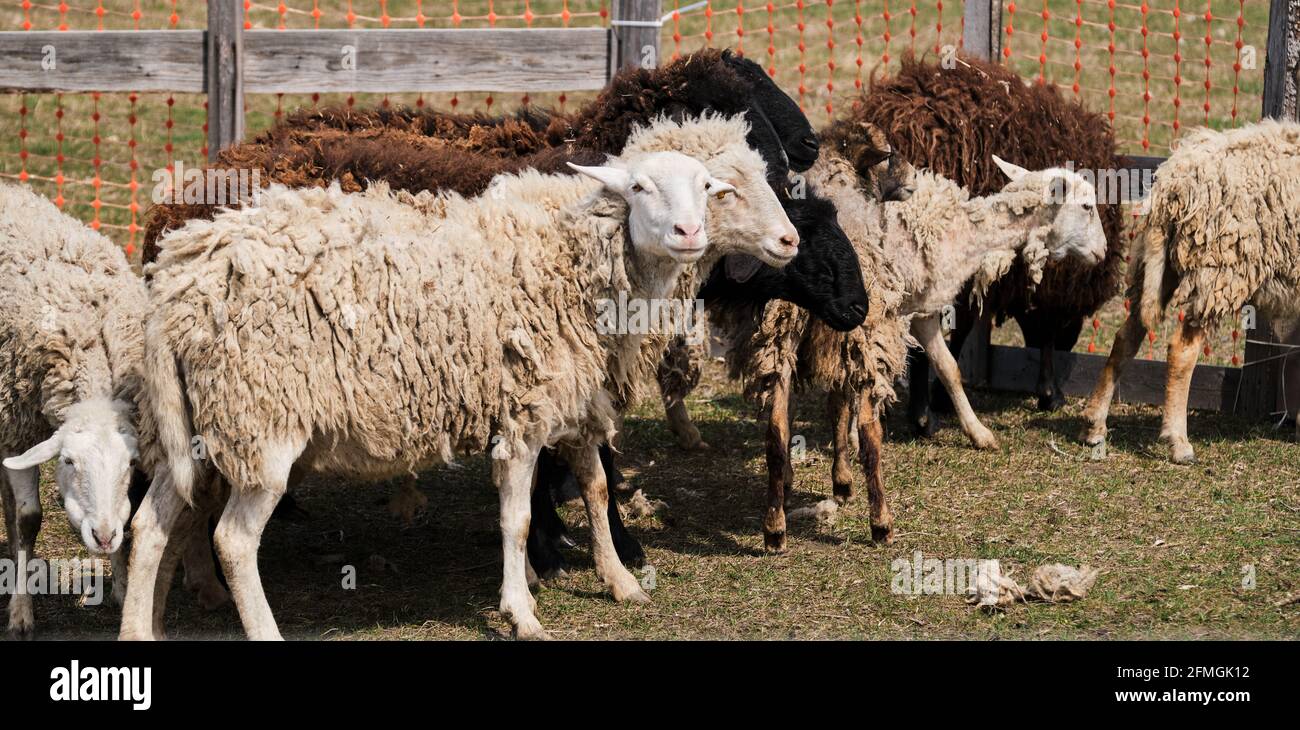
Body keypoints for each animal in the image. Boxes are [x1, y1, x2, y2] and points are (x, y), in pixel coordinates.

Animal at [121, 115, 798, 641]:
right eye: (639, 187)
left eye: (706, 188)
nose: (789, 240)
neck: (572, 255)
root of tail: (177, 286)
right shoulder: (525, 413)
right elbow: (517, 518)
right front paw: (522, 609)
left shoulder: (575, 398)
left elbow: (597, 489)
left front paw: (620, 580)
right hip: (262, 421)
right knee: (234, 540)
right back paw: (259, 627)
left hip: (193, 427)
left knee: (151, 524)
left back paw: (139, 630)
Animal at [717, 145, 1107, 550]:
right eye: (1087, 207)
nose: (1103, 252)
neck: (963, 231)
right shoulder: (910, 313)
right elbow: (926, 373)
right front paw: (974, 432)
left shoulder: (906, 317)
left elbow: (937, 371)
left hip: (781, 328)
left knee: (779, 418)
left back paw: (780, 511)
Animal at [1081, 119, 1300, 464]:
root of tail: (1173, 184)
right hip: (1219, 270)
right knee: (1181, 350)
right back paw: (1178, 442)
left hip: (1161, 267)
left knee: (1127, 336)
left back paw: (1094, 426)